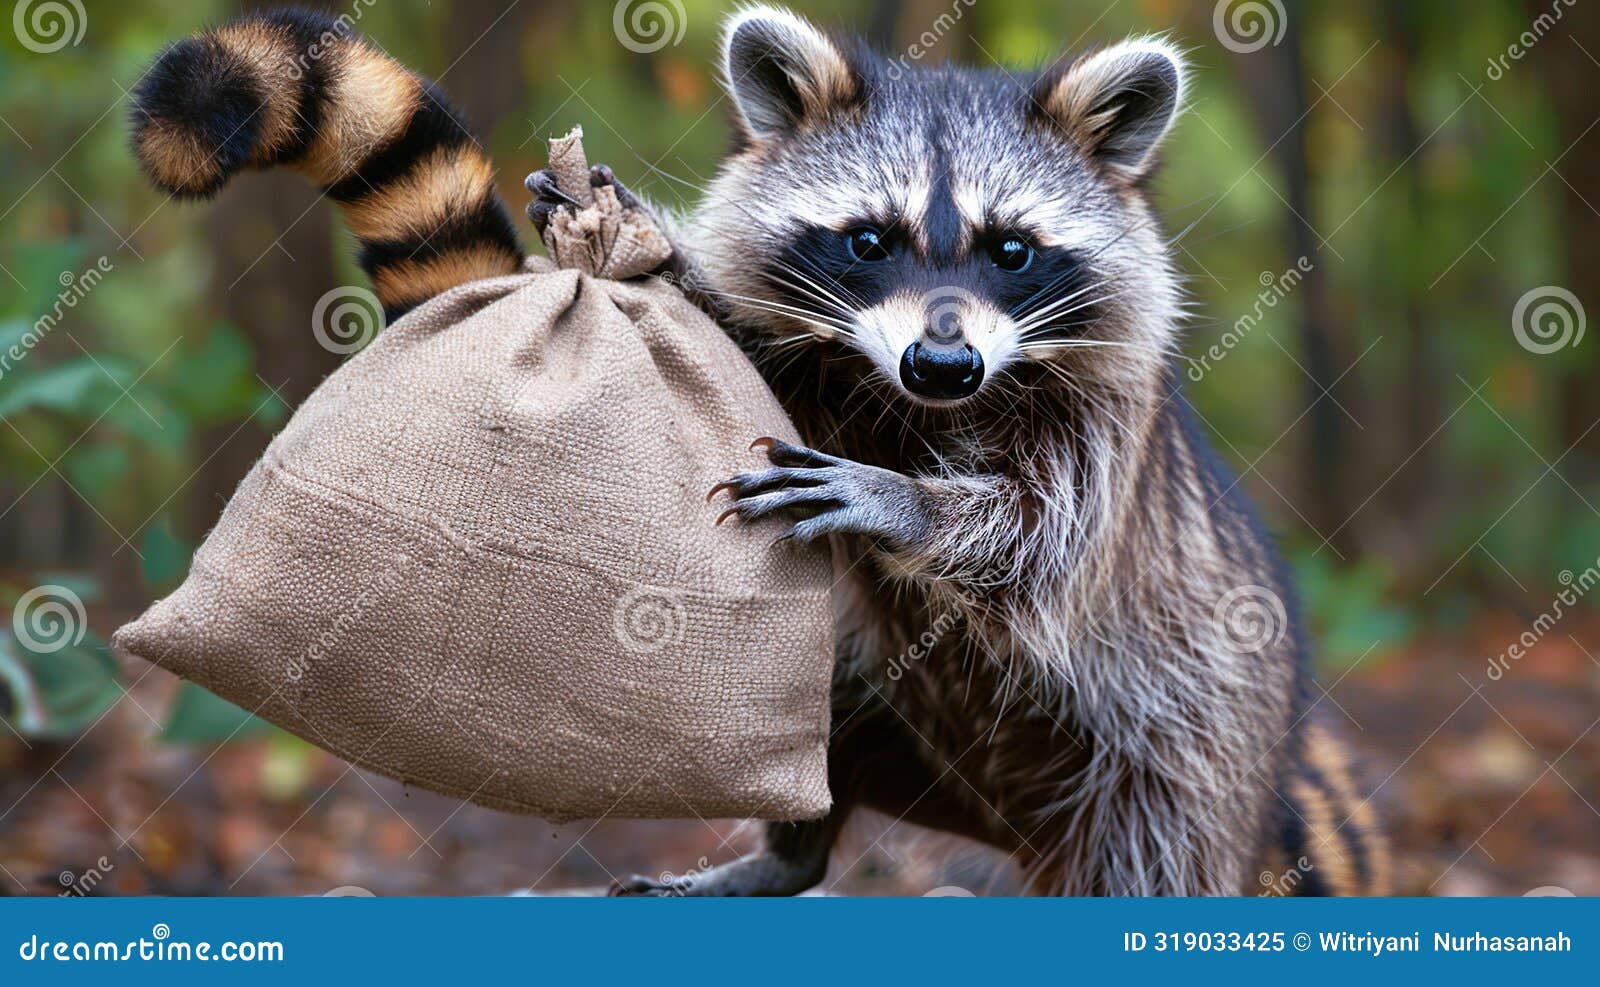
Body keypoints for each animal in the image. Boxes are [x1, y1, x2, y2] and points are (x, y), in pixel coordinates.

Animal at [528, 6, 1389, 896]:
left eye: (1011, 249)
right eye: (868, 240)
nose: (942, 364)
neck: (935, 405)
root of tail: (1012, 825)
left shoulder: (1104, 425)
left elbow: (1038, 535)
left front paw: (909, 504)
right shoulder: (836, 375)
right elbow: (762, 352)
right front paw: (661, 253)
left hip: (1194, 745)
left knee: (1152, 850)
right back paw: (785, 858)